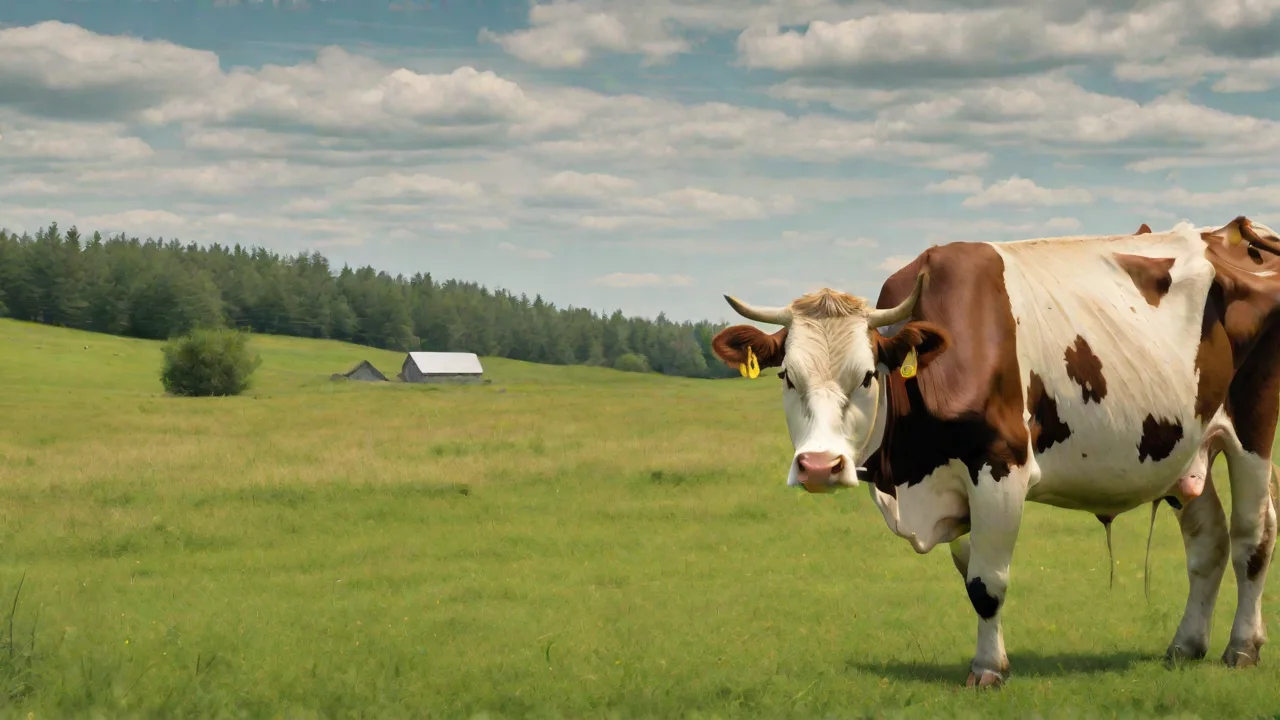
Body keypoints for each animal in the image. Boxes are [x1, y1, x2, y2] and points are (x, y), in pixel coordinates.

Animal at [711, 216, 1280, 688]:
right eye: (787, 377)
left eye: (868, 375)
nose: (819, 467)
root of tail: (1234, 233)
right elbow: (970, 568)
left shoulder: (1001, 465)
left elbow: (988, 583)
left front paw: (987, 670)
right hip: (1185, 448)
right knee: (1208, 543)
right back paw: (1186, 645)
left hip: (1251, 430)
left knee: (1251, 537)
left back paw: (1242, 648)